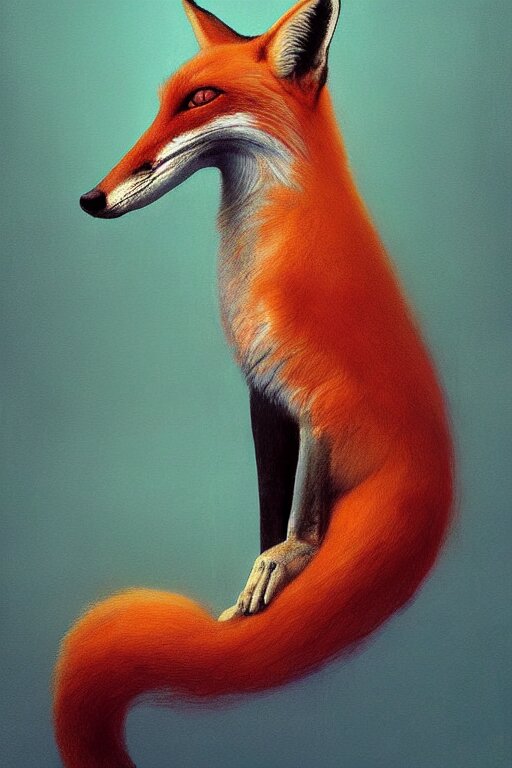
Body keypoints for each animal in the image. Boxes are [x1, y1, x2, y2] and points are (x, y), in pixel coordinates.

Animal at [54, 1, 453, 766]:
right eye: (164, 100)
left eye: (201, 99)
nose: (90, 199)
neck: (262, 266)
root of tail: (440, 488)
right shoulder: (263, 399)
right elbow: (272, 501)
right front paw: (255, 583)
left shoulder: (319, 399)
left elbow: (300, 520)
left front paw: (283, 563)